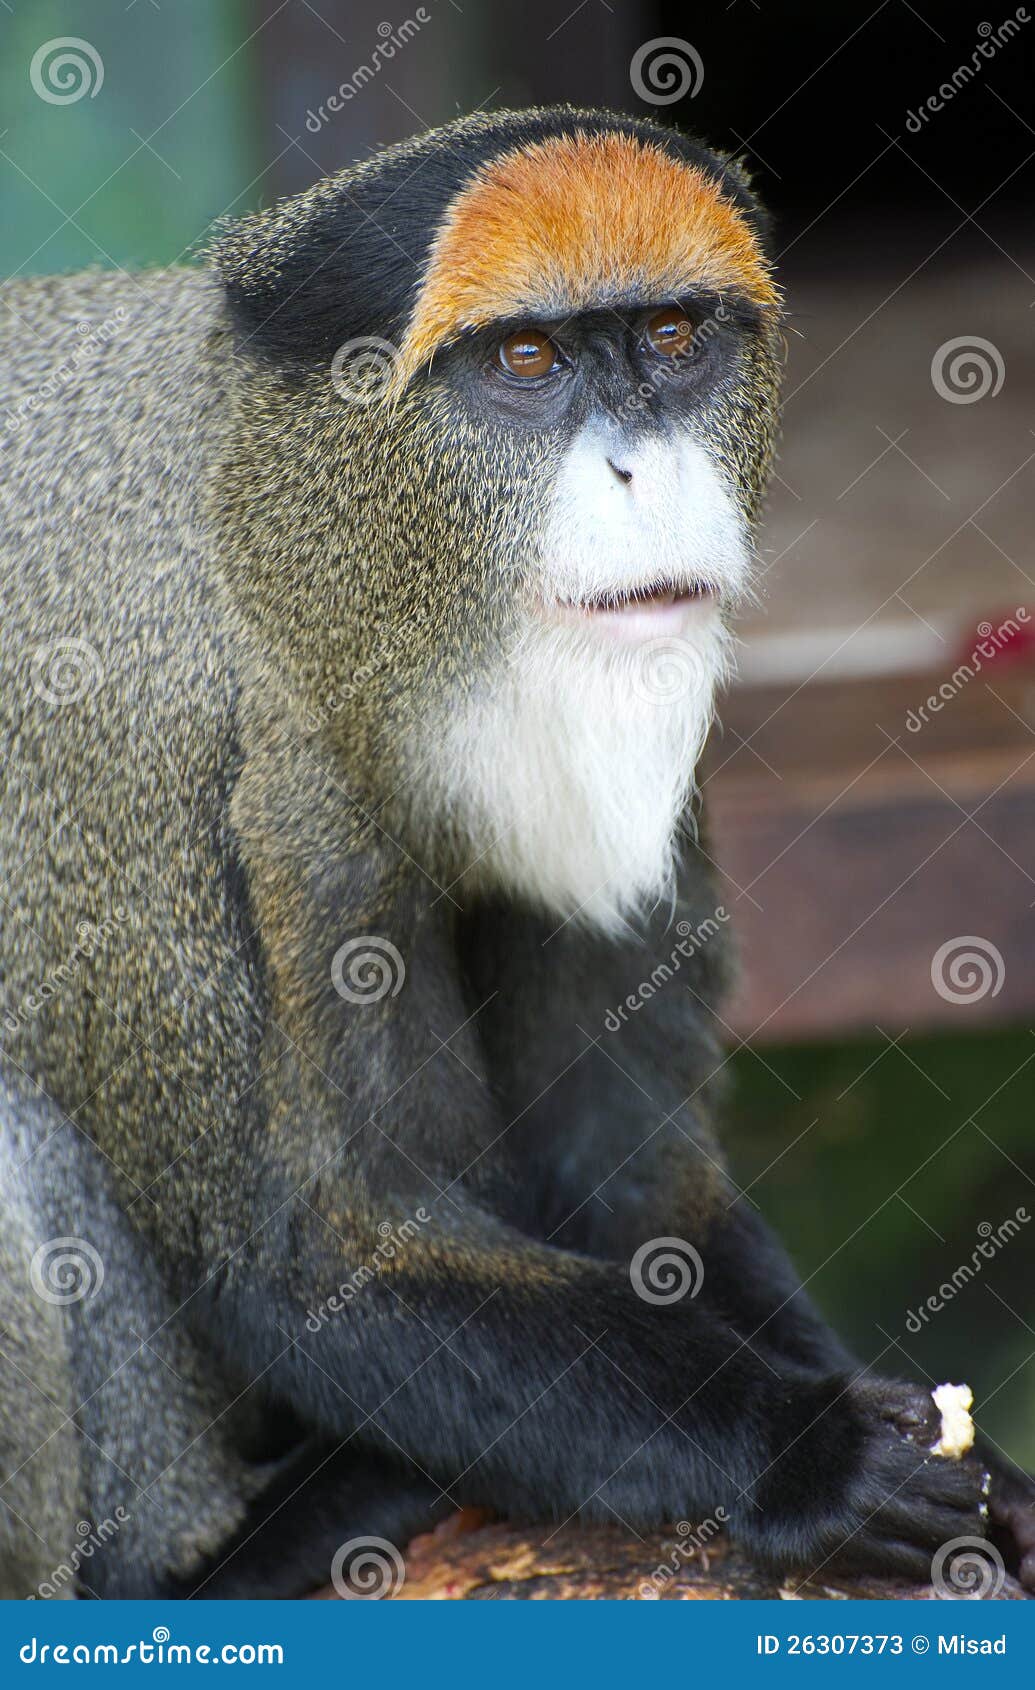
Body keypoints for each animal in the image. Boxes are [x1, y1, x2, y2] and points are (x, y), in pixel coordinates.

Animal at [1, 105, 1033, 1600]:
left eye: (671, 338)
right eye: (527, 364)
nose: (641, 469)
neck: (289, 547)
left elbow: (621, 1172)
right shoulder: (218, 764)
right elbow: (317, 1258)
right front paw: (810, 1451)